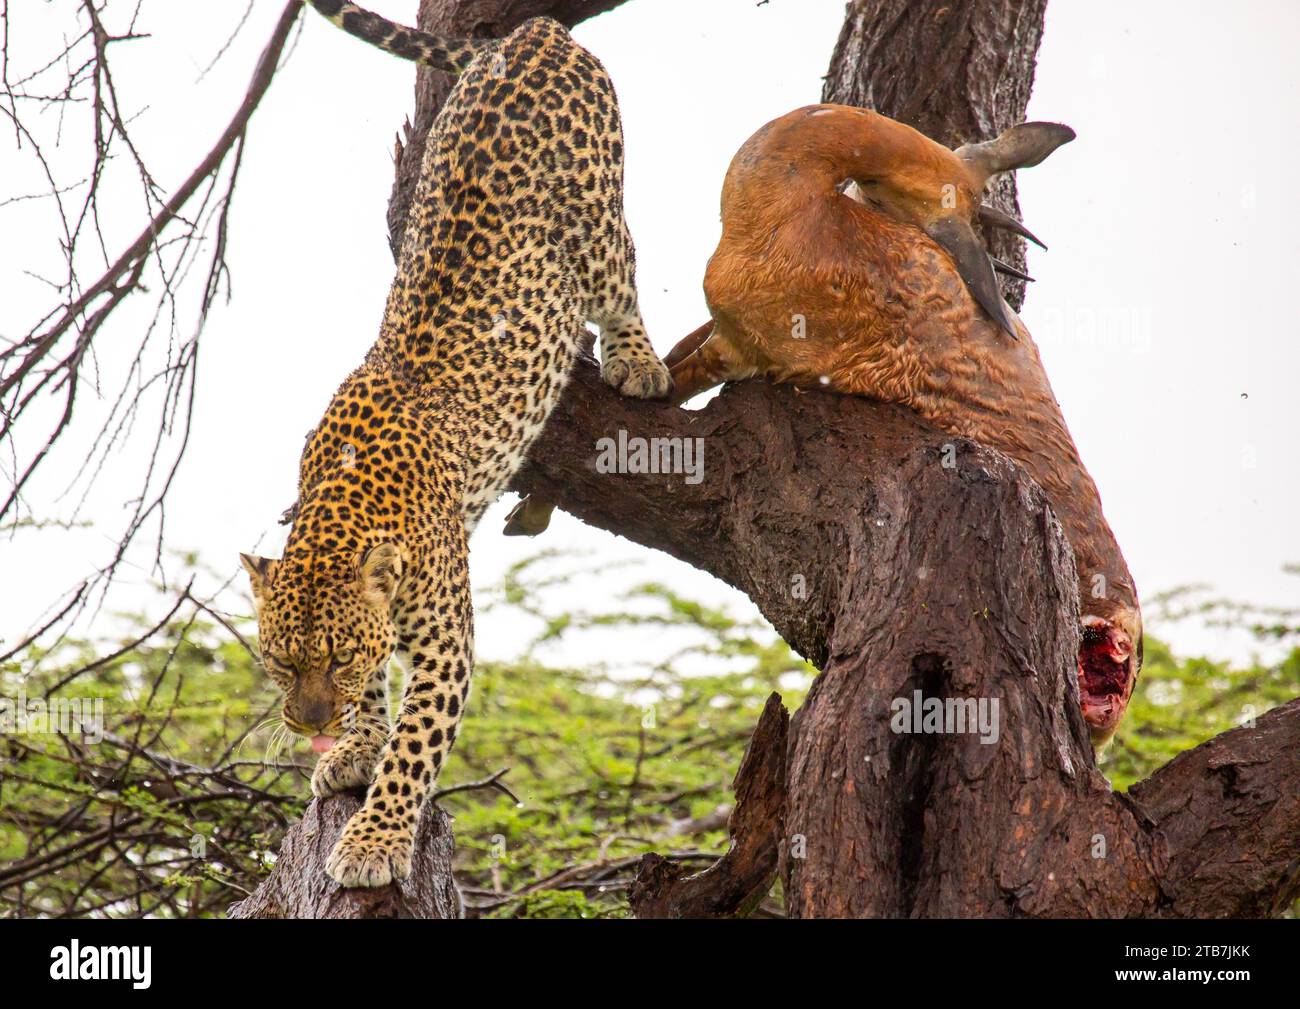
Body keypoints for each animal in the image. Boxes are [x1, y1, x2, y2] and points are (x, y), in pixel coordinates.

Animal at [240, 0, 669, 888]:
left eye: (333, 659)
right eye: (283, 662)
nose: (308, 723)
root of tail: (534, 33)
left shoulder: (446, 646)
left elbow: (413, 747)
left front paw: (372, 841)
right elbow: (383, 697)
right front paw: (354, 748)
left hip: (597, 220)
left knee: (623, 277)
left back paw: (638, 361)